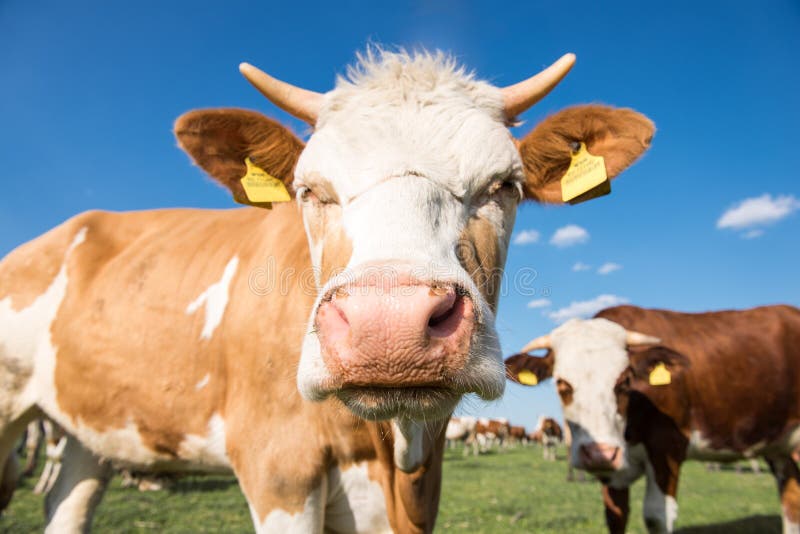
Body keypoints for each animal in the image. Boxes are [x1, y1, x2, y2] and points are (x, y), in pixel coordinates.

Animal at [0, 49, 654, 532]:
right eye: (308, 189)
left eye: (505, 184)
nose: (389, 327)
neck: (400, 465)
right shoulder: (279, 472)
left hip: (86, 429)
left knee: (67, 501)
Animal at [505, 304, 800, 533]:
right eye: (561, 383)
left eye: (624, 381)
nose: (600, 454)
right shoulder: (613, 473)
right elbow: (615, 516)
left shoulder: (667, 449)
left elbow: (657, 517)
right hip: (780, 448)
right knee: (791, 500)